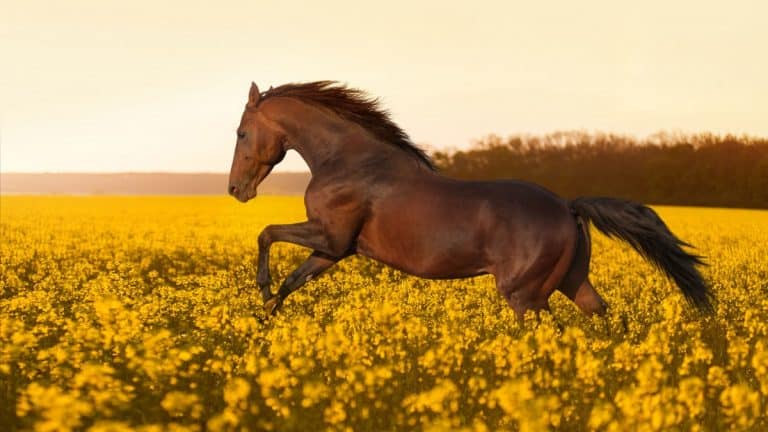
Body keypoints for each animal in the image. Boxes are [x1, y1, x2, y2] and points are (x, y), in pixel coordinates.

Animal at [227, 81, 712, 319]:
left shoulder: (330, 238)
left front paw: (261, 289)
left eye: (241, 132)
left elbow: (266, 233)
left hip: (525, 295)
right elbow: (292, 281)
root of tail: (567, 207)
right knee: (603, 314)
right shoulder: (336, 250)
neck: (349, 160)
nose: (235, 190)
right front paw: (265, 318)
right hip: (572, 281)